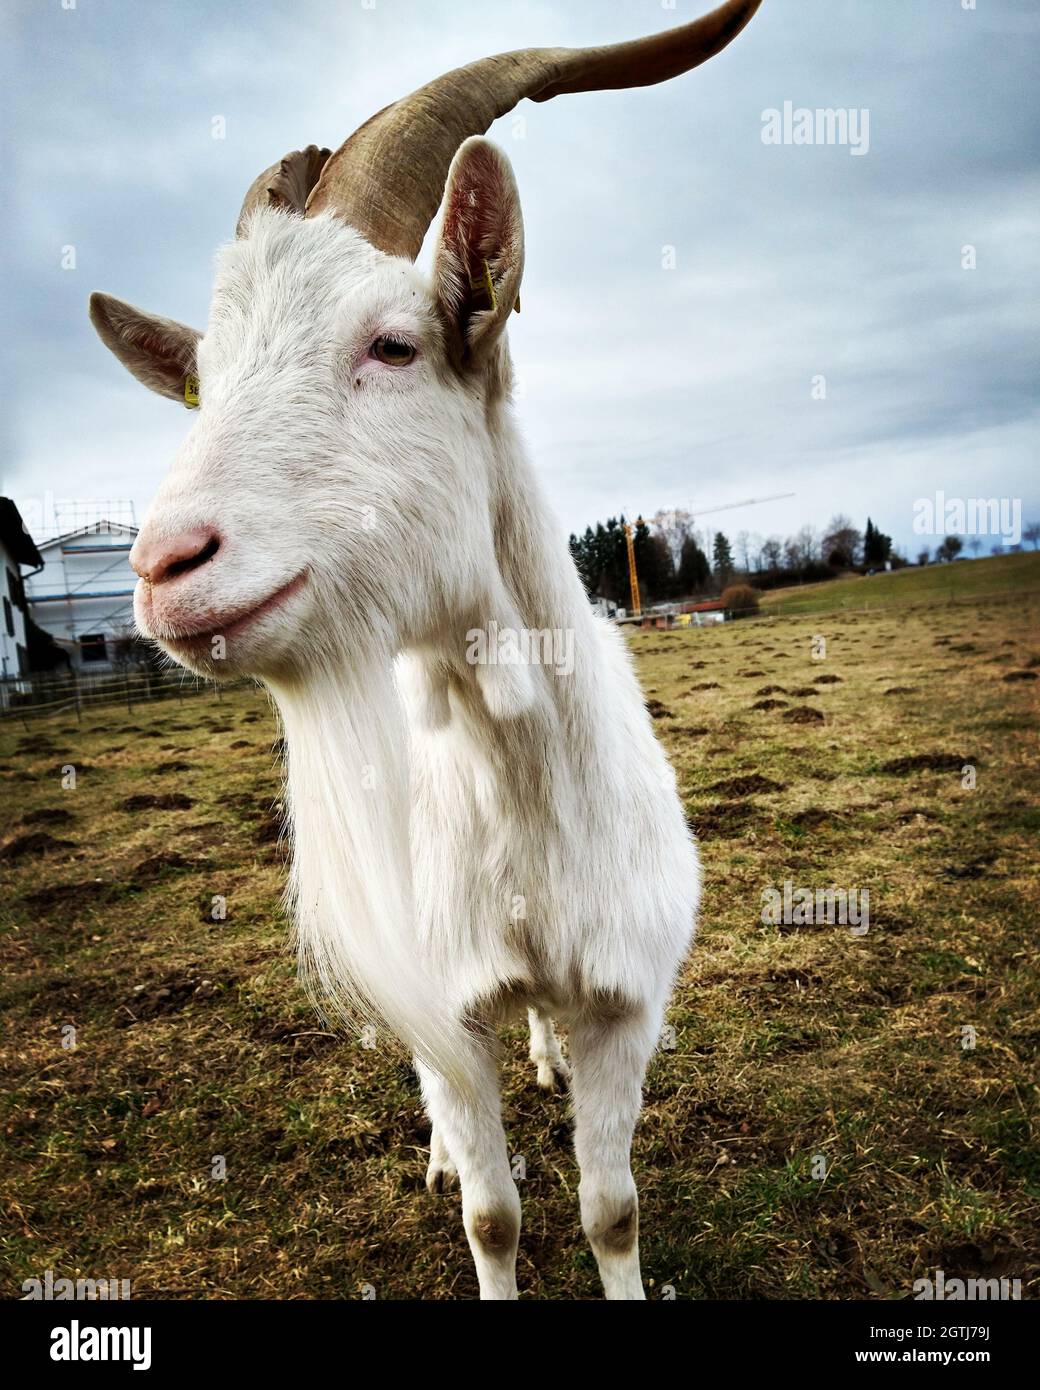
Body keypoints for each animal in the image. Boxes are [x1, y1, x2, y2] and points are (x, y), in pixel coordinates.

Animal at [88, 0, 763, 1300]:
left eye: (393, 345)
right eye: (202, 387)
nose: (163, 567)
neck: (520, 778)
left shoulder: (625, 996)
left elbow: (611, 1205)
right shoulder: (444, 1001)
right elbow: (493, 1216)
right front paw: (470, 1185)